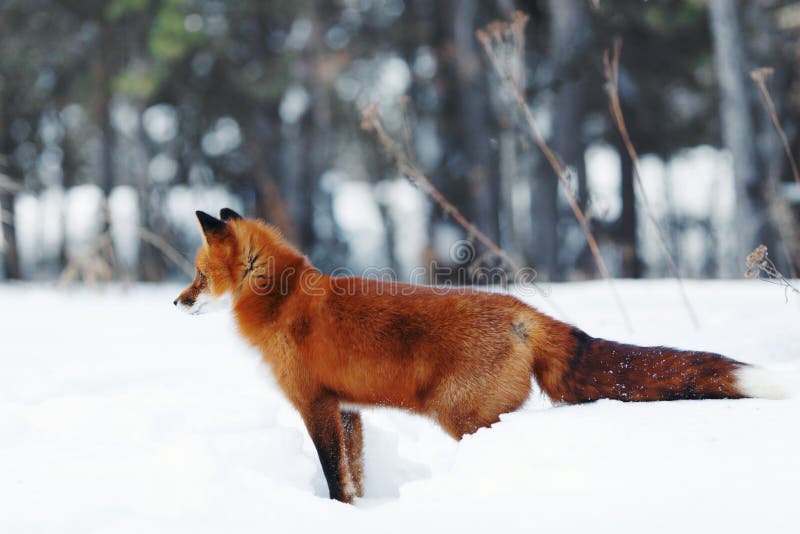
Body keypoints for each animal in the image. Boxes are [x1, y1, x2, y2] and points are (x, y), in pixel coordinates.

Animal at [175, 208, 788, 503]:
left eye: (199, 276)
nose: (176, 302)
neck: (282, 300)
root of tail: (522, 310)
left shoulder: (315, 404)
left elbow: (334, 479)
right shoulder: (348, 410)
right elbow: (357, 476)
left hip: (462, 416)